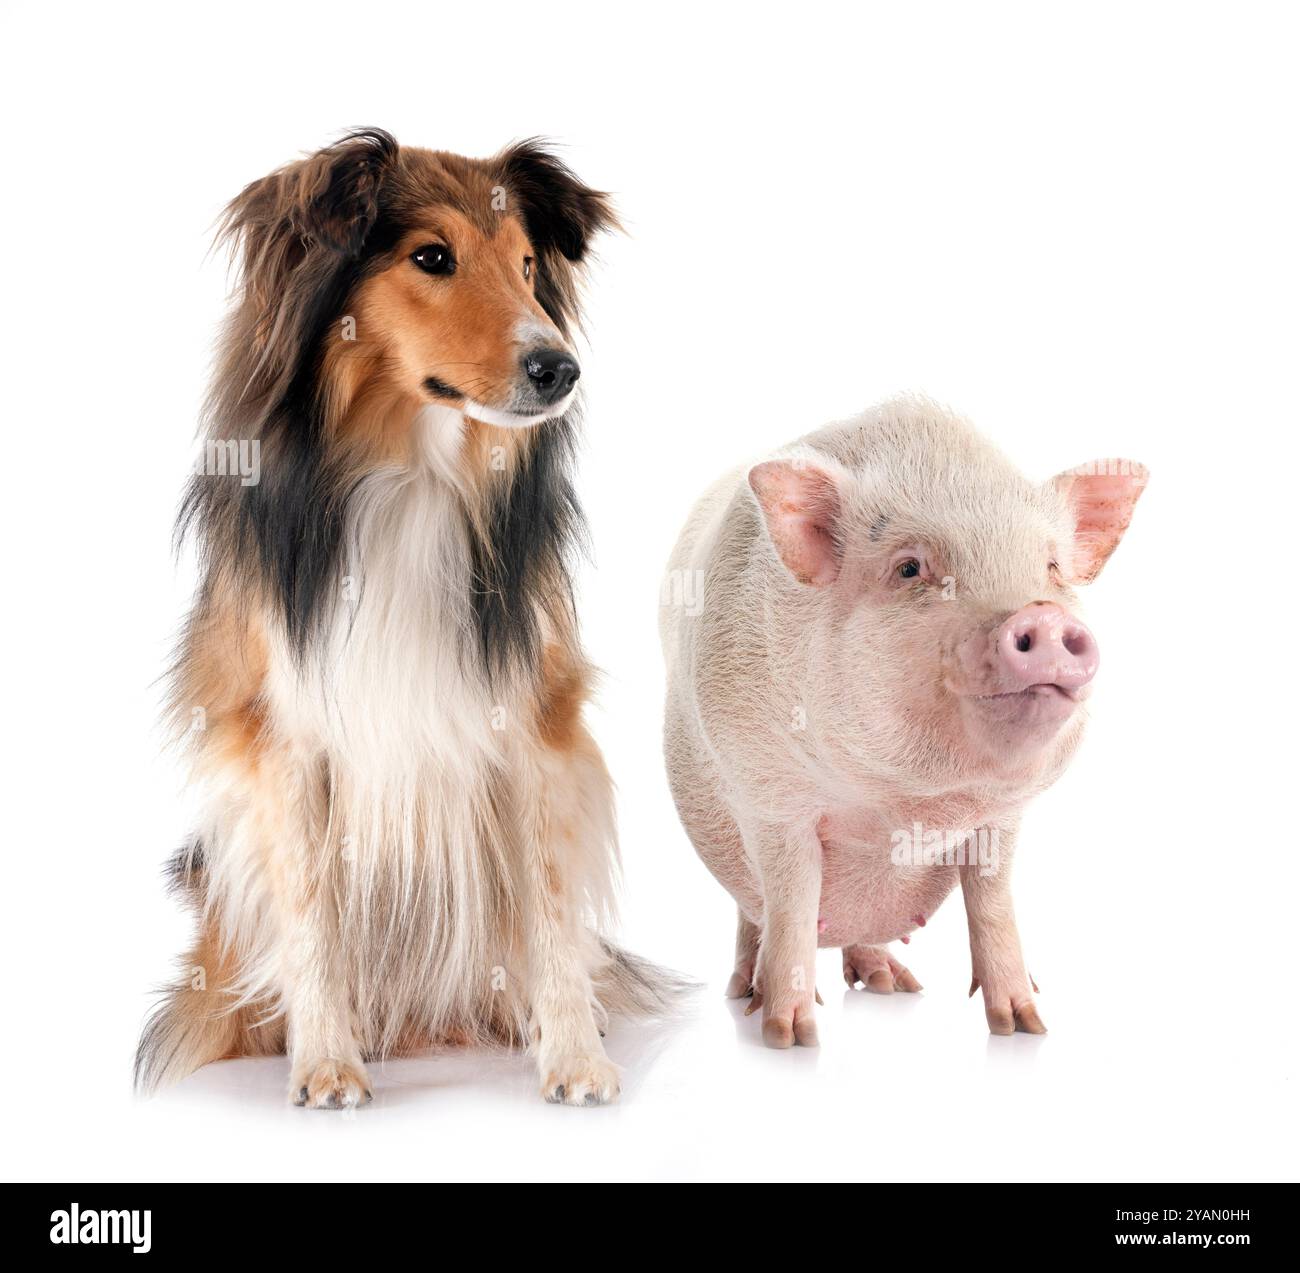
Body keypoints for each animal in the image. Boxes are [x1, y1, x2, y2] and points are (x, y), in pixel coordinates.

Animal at [659, 397, 1146, 1047]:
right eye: (910, 568)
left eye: (1050, 567)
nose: (1040, 614)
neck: (908, 807)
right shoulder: (770, 798)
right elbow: (791, 904)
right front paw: (790, 1037)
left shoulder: (1001, 817)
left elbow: (993, 904)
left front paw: (1025, 1026)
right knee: (754, 911)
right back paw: (745, 993)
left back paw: (893, 985)